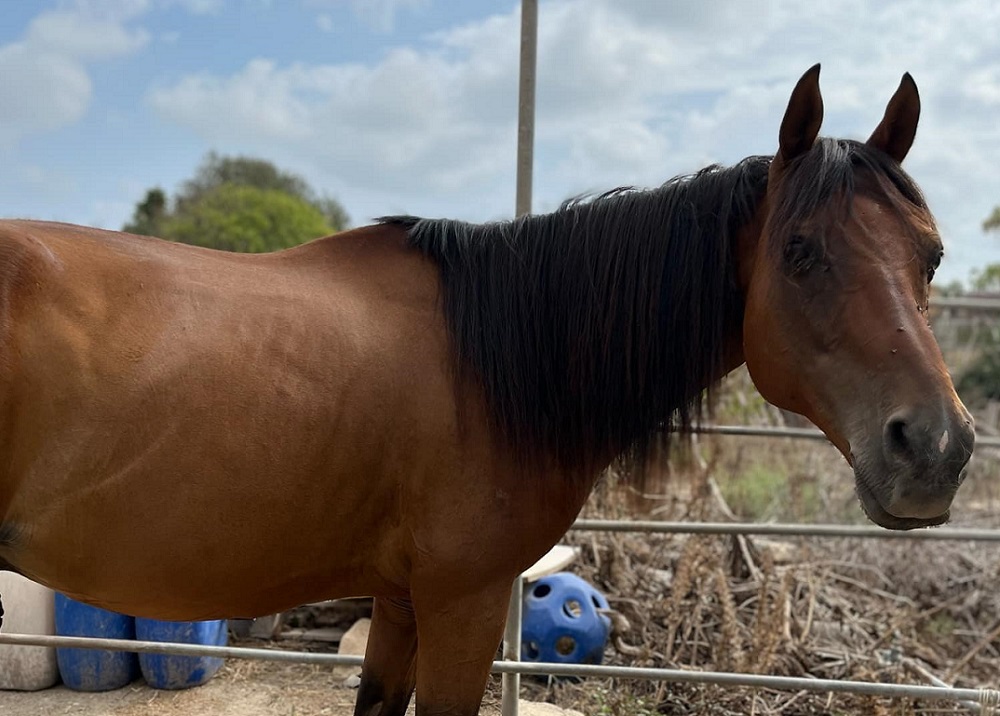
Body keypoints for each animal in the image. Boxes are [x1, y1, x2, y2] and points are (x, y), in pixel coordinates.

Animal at [0, 65, 974, 715]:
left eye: (929, 257)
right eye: (800, 252)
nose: (935, 449)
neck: (496, 359)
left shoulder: (400, 603)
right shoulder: (463, 603)